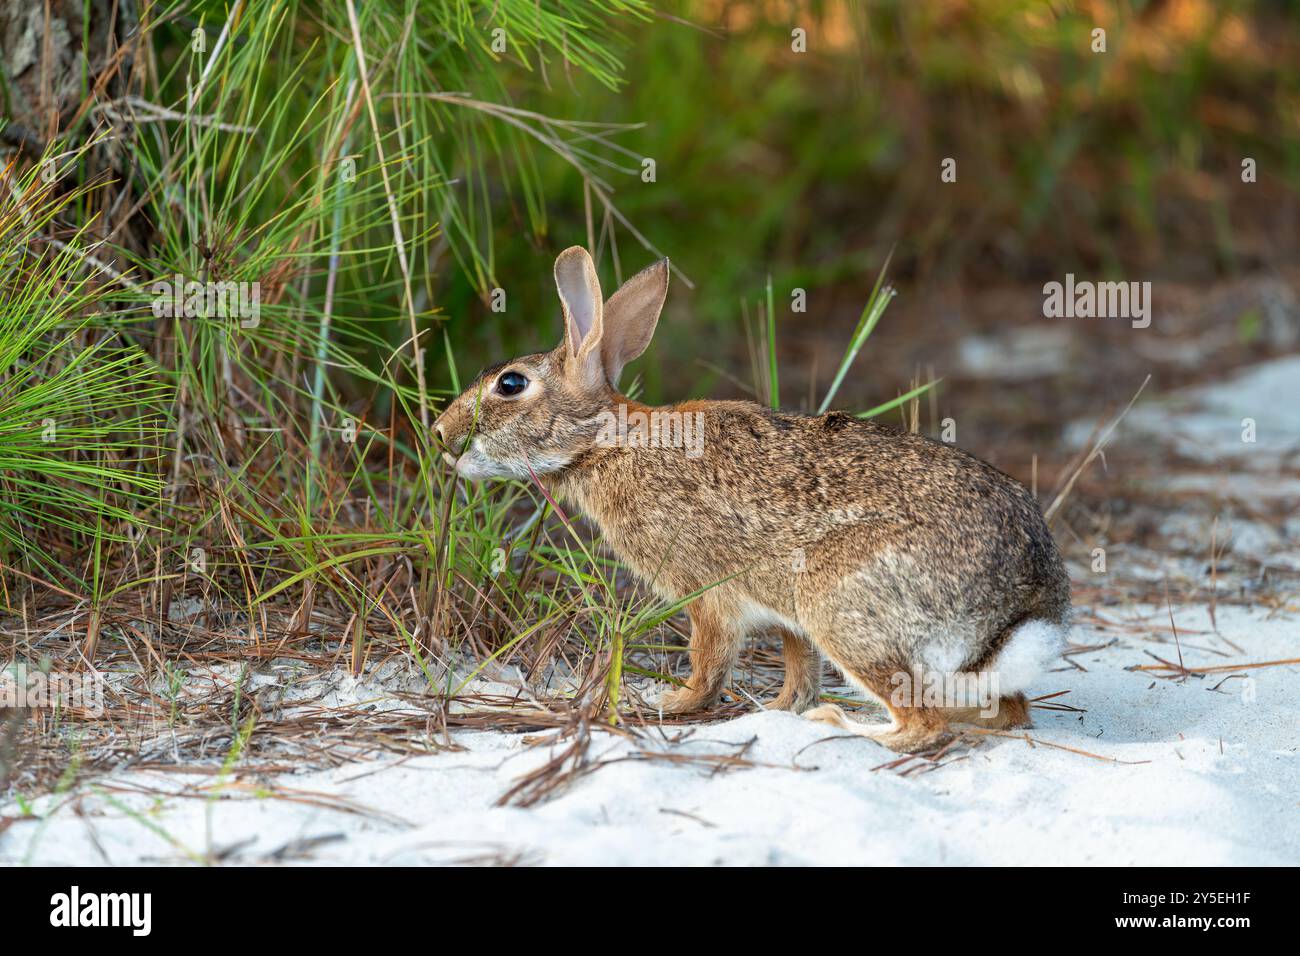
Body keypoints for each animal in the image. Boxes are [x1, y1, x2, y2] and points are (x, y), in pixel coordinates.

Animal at [433, 246, 1072, 752]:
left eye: (510, 385)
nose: (440, 436)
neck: (606, 443)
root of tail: (1023, 609)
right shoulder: (786, 618)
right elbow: (797, 668)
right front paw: (777, 710)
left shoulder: (707, 593)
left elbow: (709, 659)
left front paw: (671, 703)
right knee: (1006, 713)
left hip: (837, 602)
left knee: (922, 724)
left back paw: (841, 723)